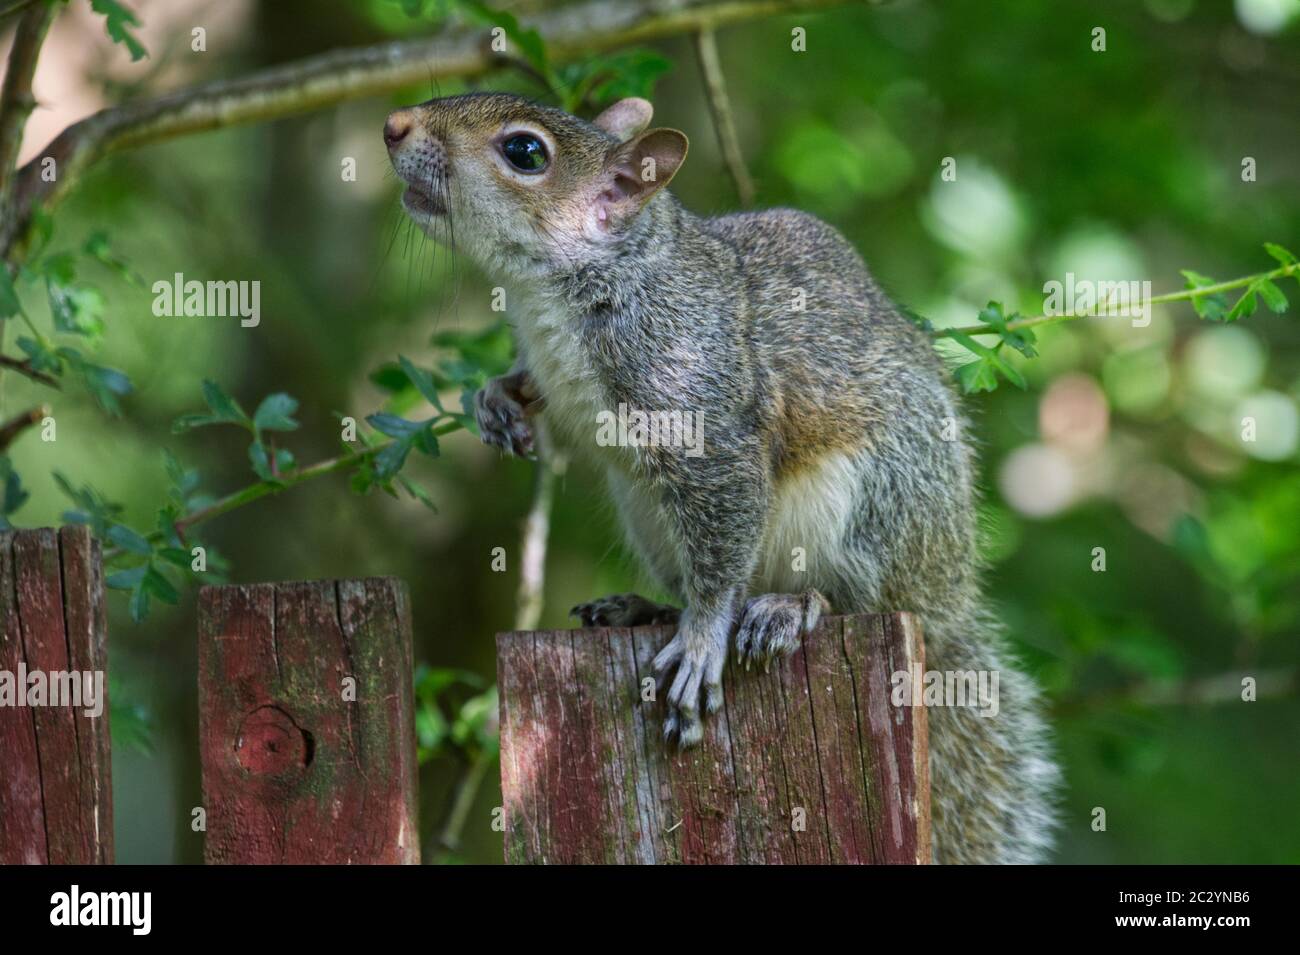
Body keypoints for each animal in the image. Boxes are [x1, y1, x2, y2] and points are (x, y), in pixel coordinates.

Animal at [385, 92, 1060, 863]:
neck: (562, 291)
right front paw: (497, 401)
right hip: (648, 514)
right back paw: (641, 608)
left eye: (524, 152)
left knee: (856, 595)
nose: (395, 126)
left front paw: (704, 641)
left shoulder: (704, 413)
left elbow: (721, 552)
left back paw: (789, 607)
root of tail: (946, 595)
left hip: (874, 502)